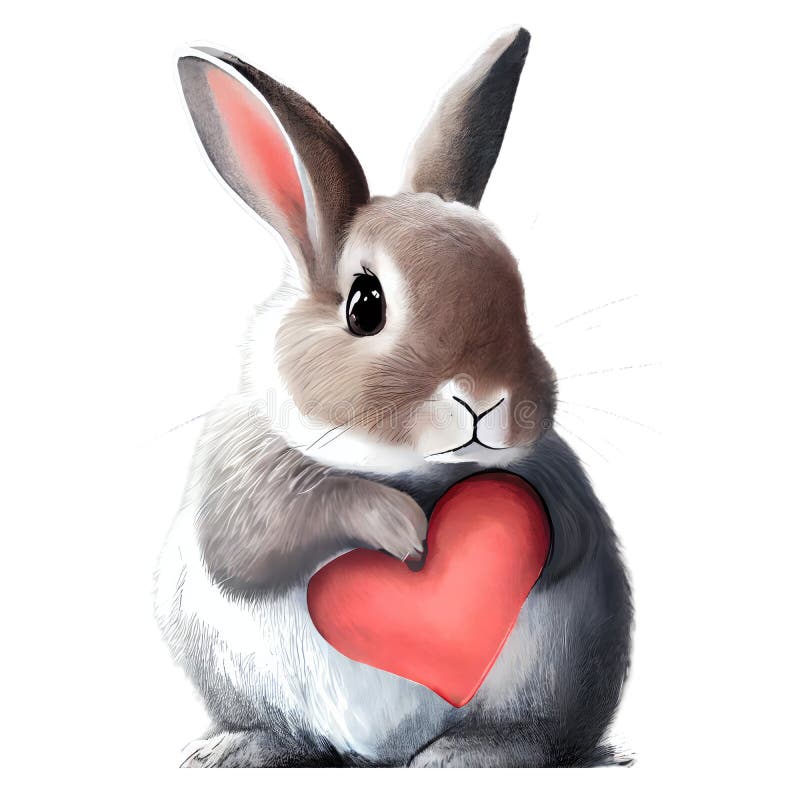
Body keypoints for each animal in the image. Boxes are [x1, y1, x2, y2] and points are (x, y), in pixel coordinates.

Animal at [155, 27, 633, 768]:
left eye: (518, 295)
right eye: (365, 305)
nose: (483, 400)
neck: (406, 466)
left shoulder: (561, 481)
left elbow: (564, 528)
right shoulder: (240, 479)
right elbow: (272, 530)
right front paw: (403, 531)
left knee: (536, 738)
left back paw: (466, 754)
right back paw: (238, 747)